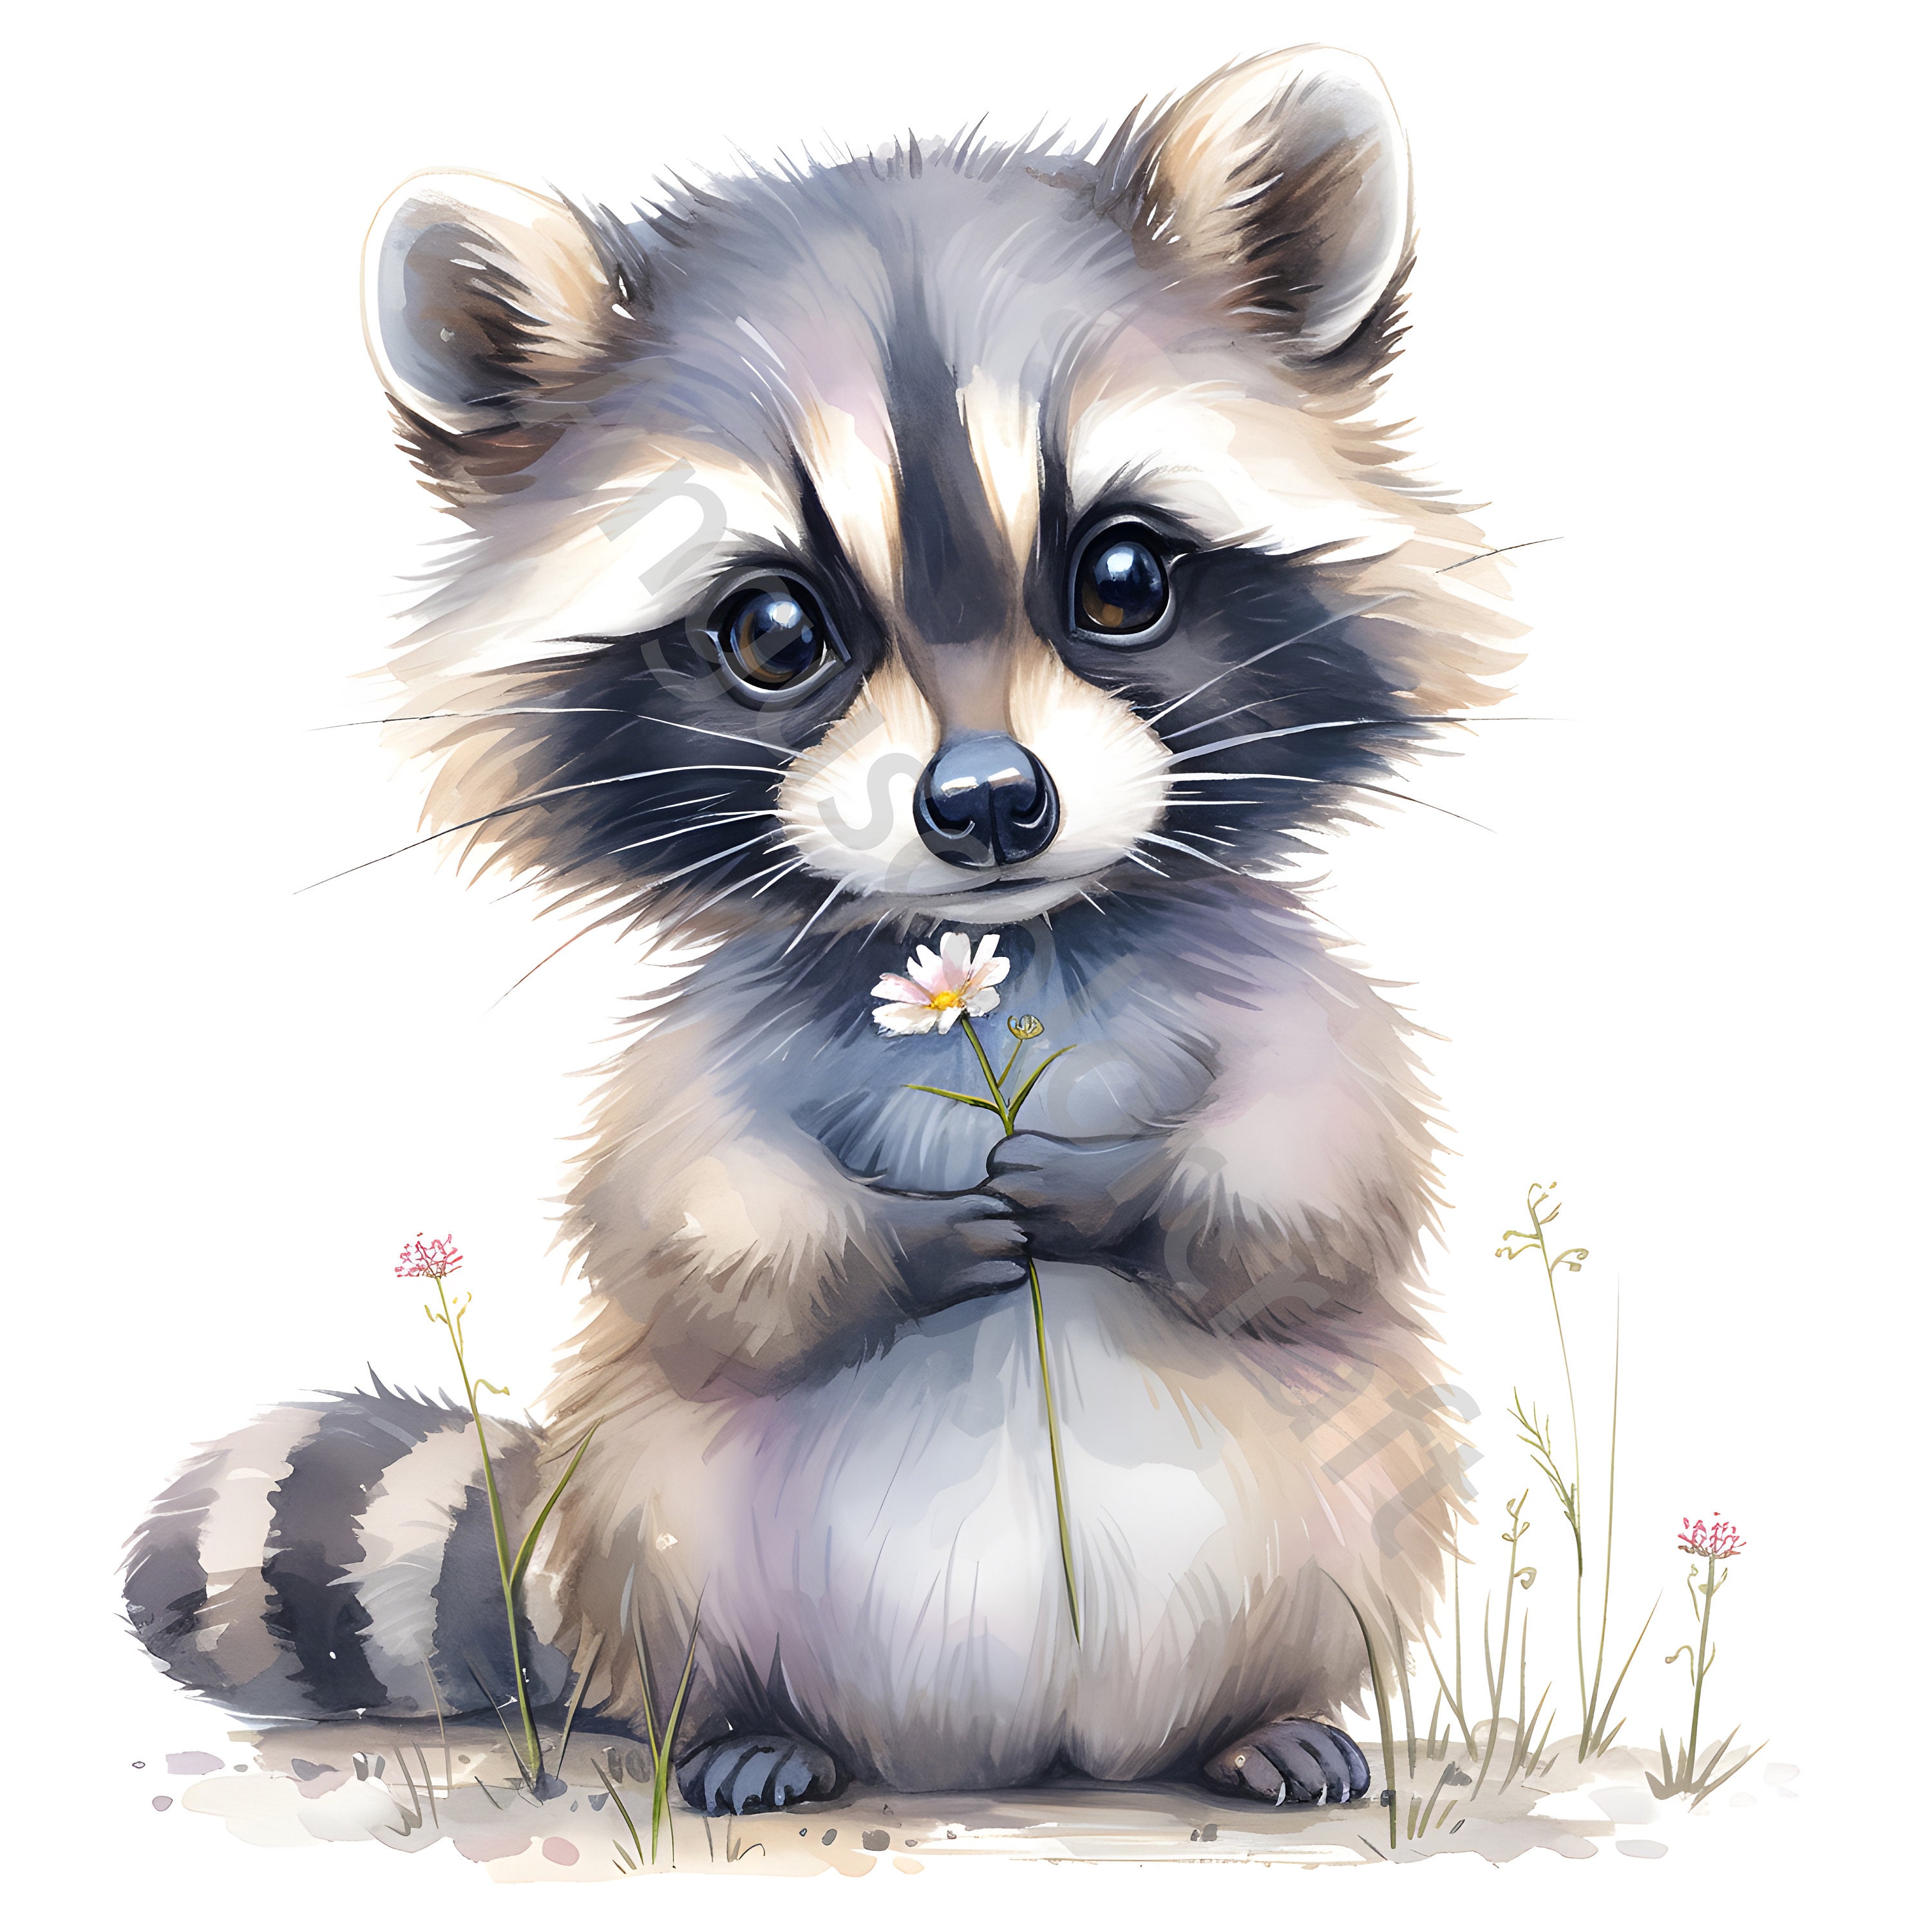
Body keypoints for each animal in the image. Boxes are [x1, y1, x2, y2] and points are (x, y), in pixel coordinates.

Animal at [126, 46, 1519, 1814]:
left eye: (1124, 578)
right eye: (775, 630)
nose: (989, 803)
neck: (1019, 956)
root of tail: (1018, 1752)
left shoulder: (1273, 977)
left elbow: (1319, 1171)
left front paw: (1126, 1184)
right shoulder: (718, 1031)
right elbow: (687, 1212)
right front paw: (891, 1244)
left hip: (1350, 1492)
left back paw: (1257, 1717)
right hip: (653, 1514)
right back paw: (748, 1723)